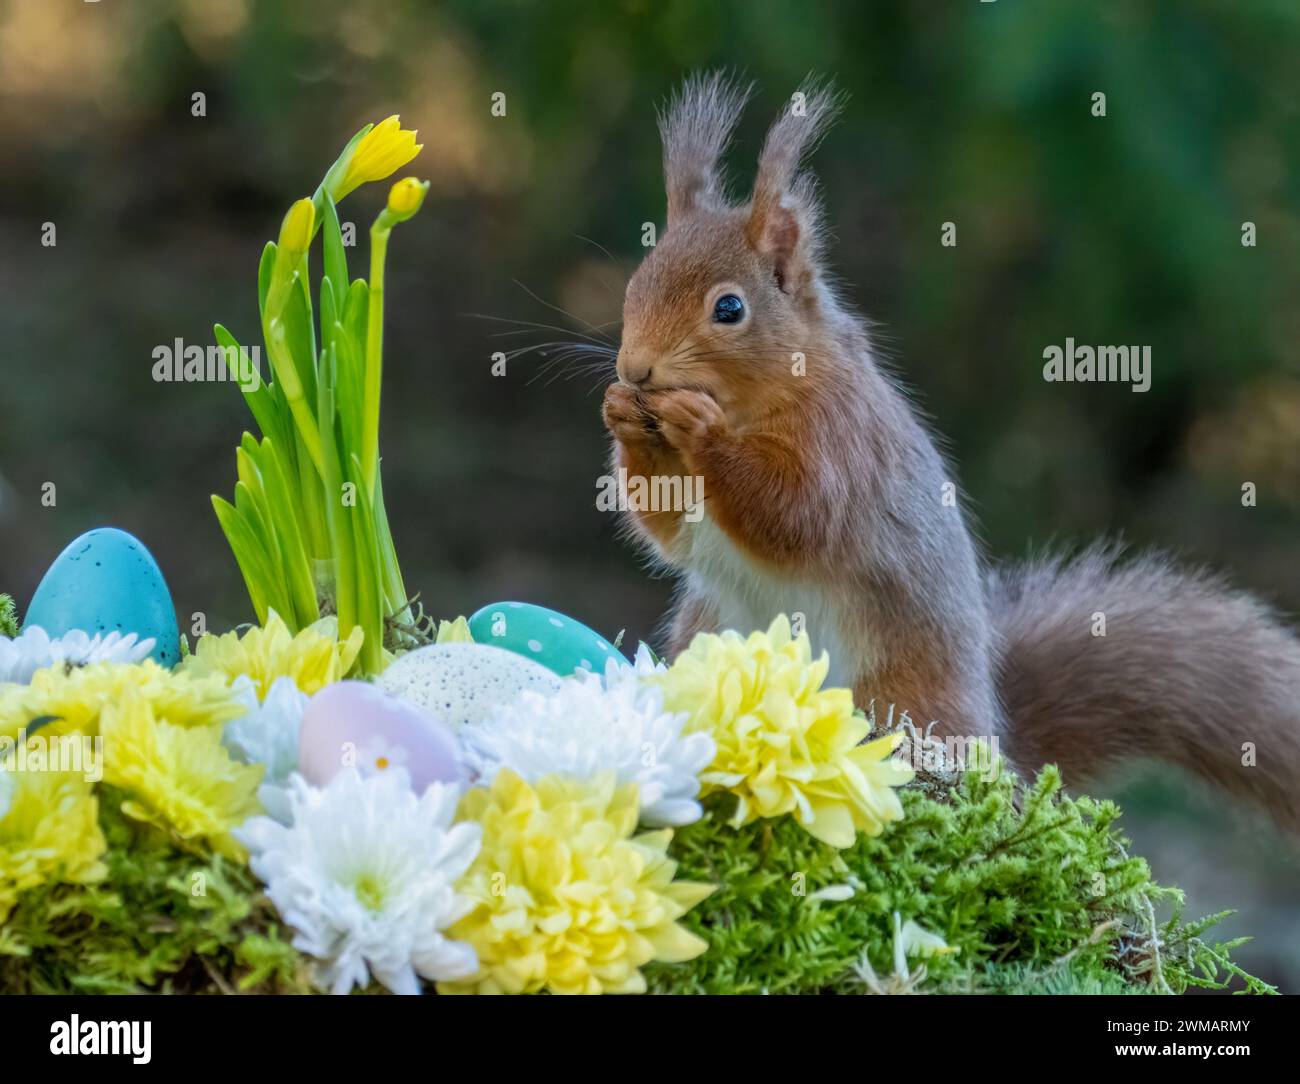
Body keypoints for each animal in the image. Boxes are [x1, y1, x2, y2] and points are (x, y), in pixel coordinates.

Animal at [601, 74, 1300, 832]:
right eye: (634, 283)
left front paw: (703, 432)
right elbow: (668, 529)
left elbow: (795, 517)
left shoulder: (844, 441)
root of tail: (1000, 750)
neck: (770, 390)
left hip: (903, 699)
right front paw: (622, 417)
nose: (634, 369)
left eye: (729, 309)